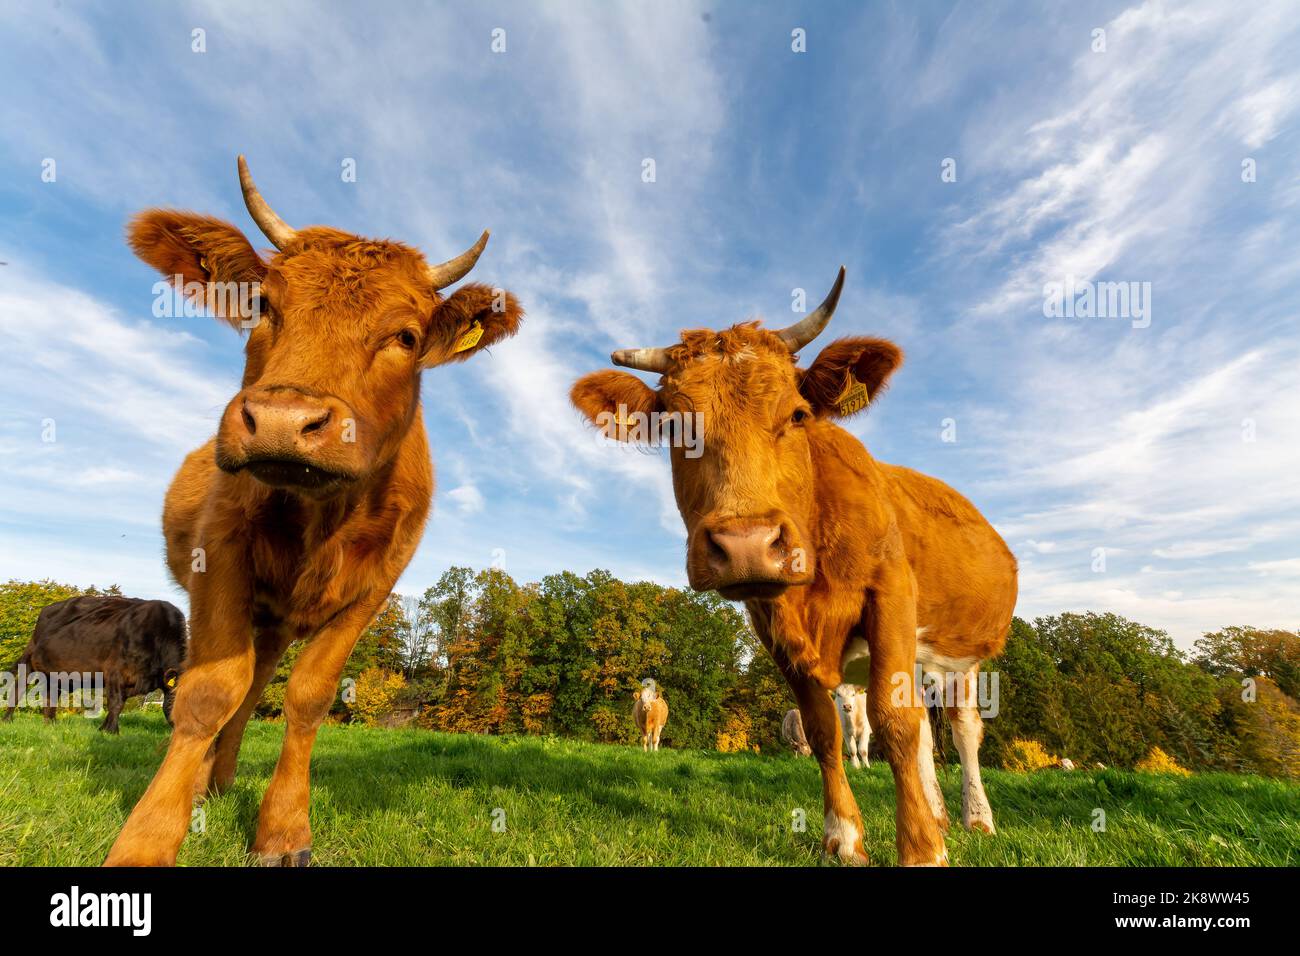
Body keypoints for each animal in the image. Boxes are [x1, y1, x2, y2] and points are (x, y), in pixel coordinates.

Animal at [2, 596, 186, 733]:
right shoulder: (114, 671)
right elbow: (116, 703)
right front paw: (111, 731)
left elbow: (119, 704)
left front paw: (104, 728)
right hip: (29, 660)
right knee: (18, 688)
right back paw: (7, 719)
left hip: (55, 673)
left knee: (51, 695)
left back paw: (51, 724)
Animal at [104, 157, 523, 867]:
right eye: (262, 305)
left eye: (406, 337)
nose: (281, 421)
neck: (319, 519)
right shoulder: (219, 555)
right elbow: (208, 692)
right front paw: (148, 839)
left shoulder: (375, 587)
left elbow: (307, 694)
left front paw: (281, 829)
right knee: (238, 687)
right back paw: (201, 786)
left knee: (257, 689)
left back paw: (218, 784)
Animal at [571, 267, 1017, 865]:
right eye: (675, 428)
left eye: (798, 415)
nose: (746, 545)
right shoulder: (772, 628)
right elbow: (824, 729)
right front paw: (845, 836)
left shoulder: (892, 598)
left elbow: (894, 722)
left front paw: (922, 849)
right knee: (925, 727)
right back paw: (940, 815)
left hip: (960, 655)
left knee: (962, 728)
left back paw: (975, 818)